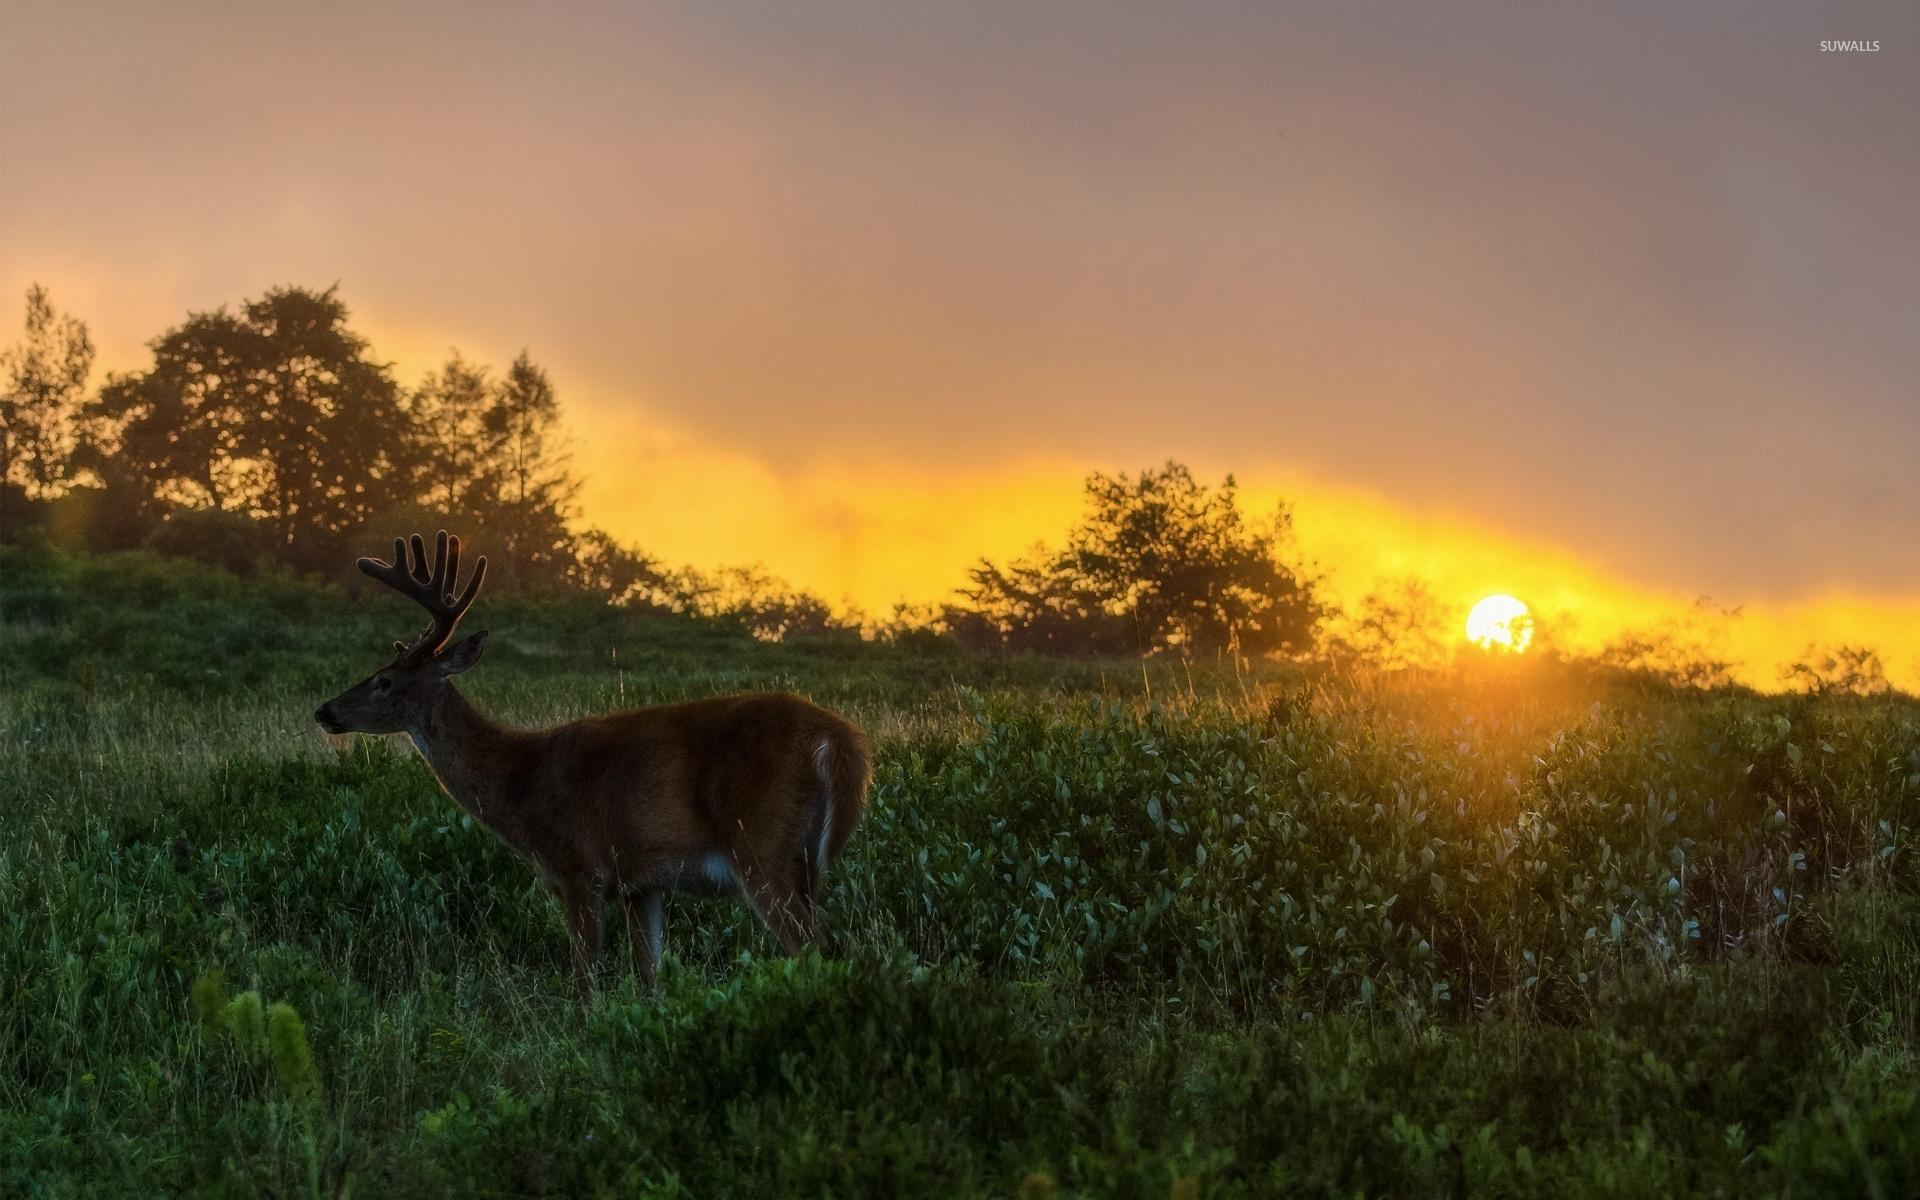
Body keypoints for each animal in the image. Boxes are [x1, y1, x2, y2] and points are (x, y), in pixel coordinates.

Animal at [312, 531, 872, 1006]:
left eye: (384, 681)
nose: (325, 711)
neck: (519, 783)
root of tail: (839, 740)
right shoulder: (640, 882)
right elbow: (650, 978)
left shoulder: (580, 867)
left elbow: (583, 984)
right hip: (804, 861)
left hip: (761, 845)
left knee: (818, 950)